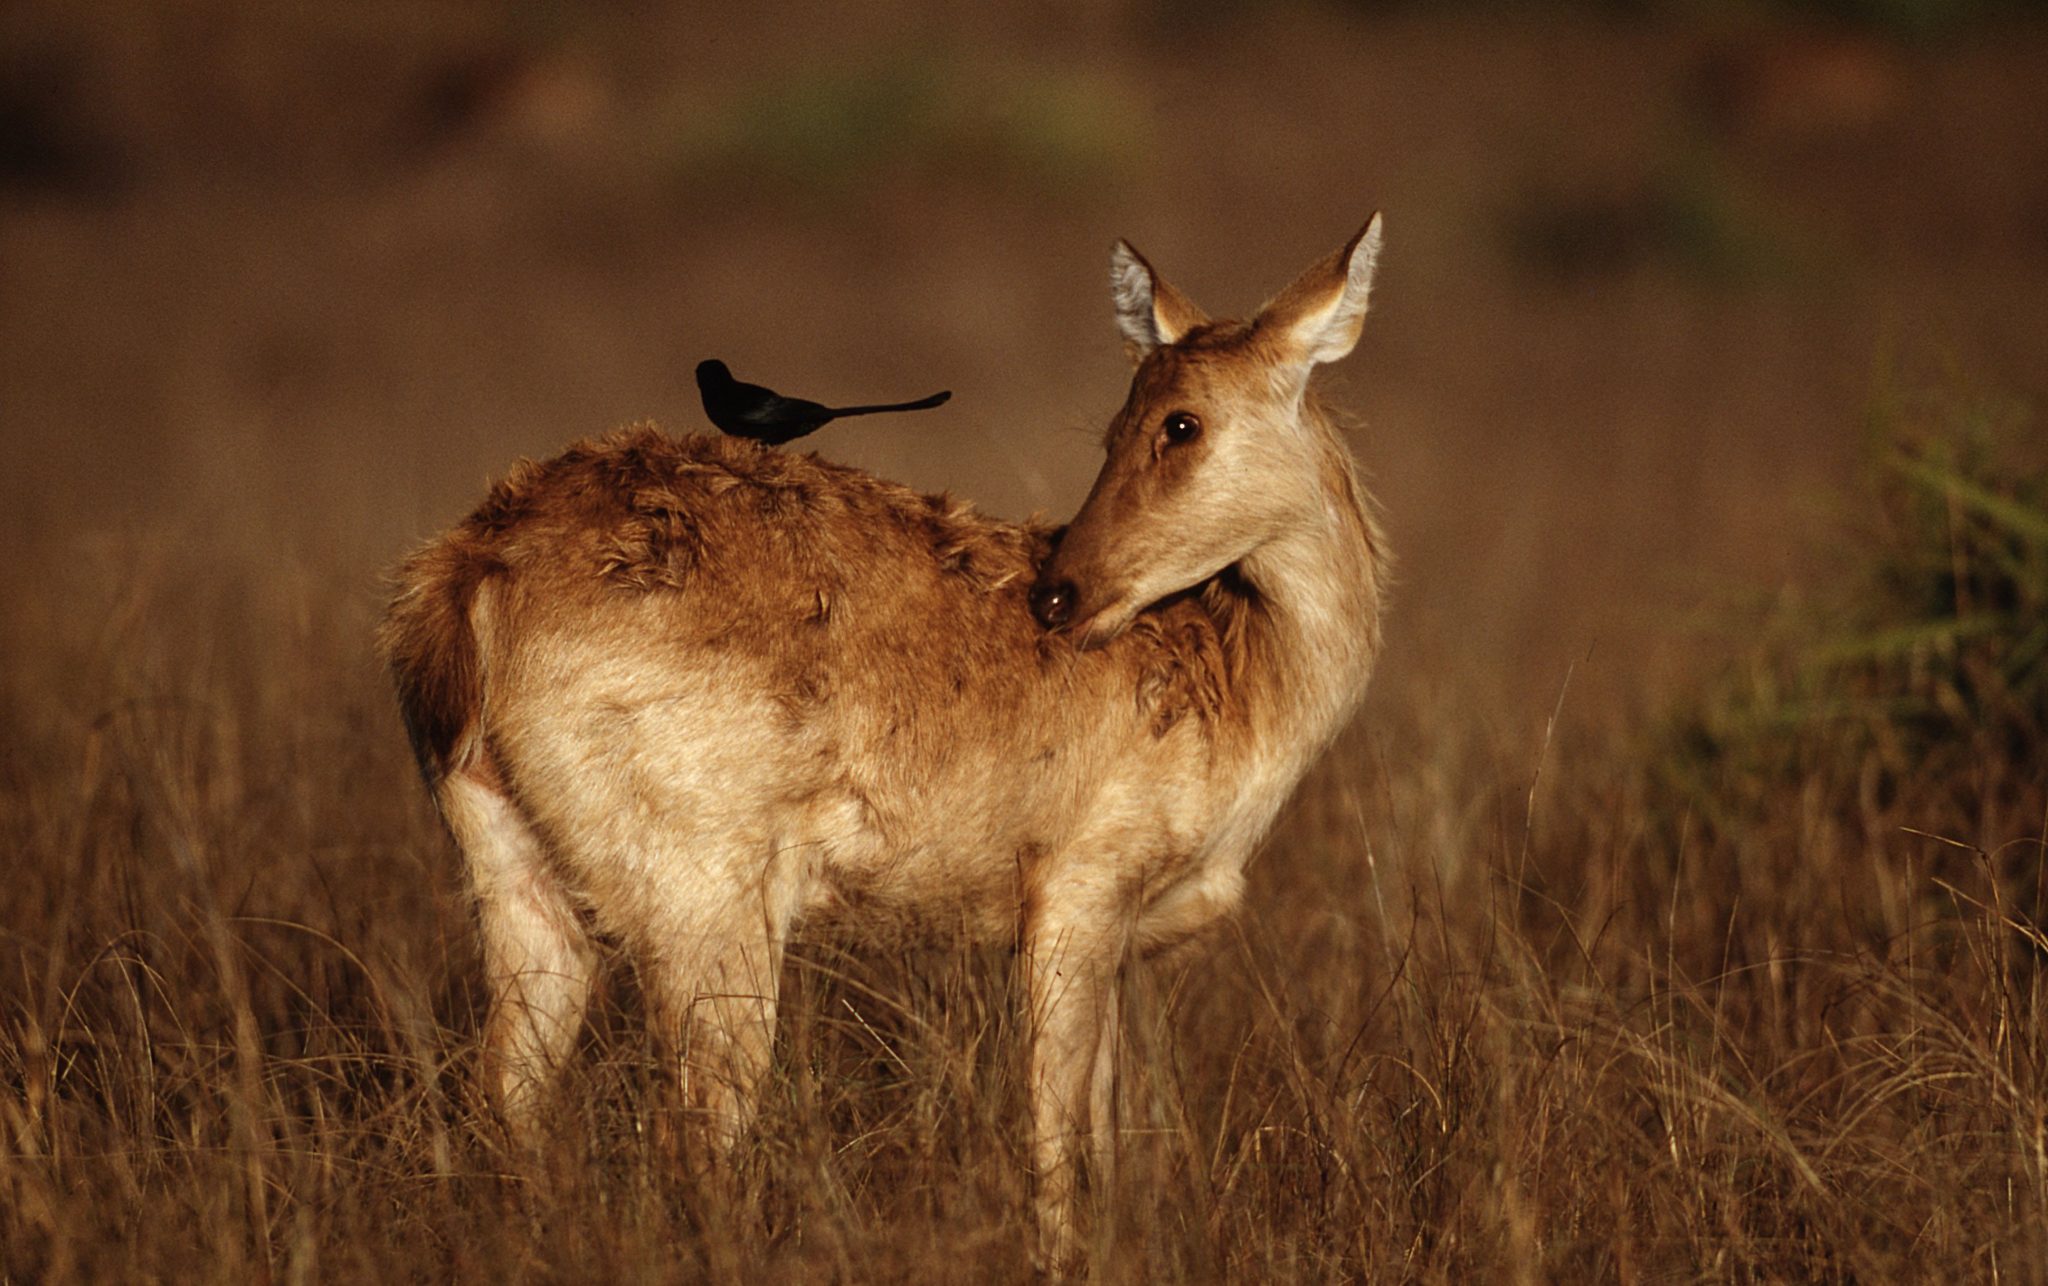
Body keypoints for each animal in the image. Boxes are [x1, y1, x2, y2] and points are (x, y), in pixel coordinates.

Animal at [379, 215, 1389, 1268]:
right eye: (1127, 423)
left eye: (1177, 422)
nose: (1060, 594)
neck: (1243, 683)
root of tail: (461, 578)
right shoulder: (1077, 887)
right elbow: (1056, 1137)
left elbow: (1103, 1132)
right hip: (706, 900)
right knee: (694, 1141)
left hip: (513, 872)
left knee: (507, 1097)